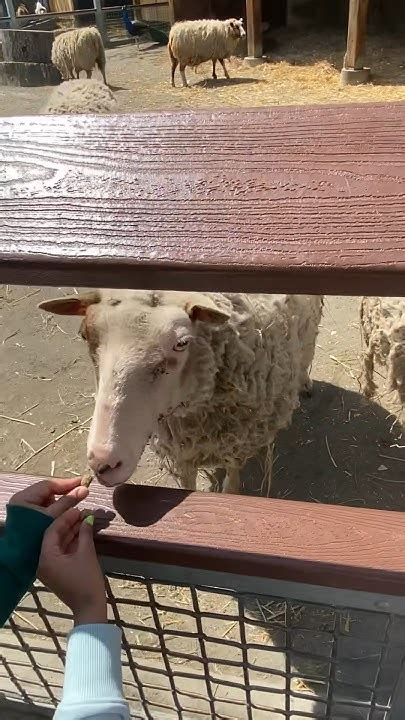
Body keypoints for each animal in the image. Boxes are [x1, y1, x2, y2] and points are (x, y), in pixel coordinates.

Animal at [38, 291, 323, 495]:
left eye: (182, 343)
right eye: (84, 334)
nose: (103, 462)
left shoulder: (239, 437)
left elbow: (232, 481)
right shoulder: (180, 448)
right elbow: (187, 484)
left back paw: (304, 381)